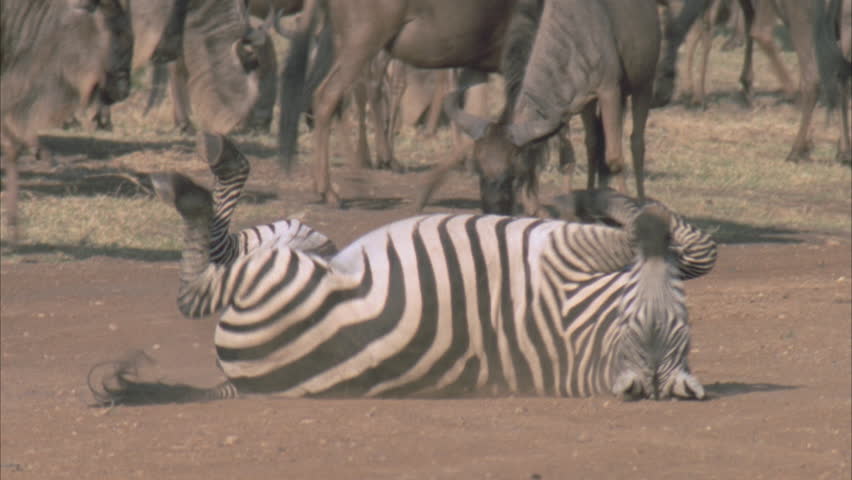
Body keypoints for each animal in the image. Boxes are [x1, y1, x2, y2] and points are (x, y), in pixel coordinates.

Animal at [90, 133, 717, 405]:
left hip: (269, 277)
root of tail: (238, 386)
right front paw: (603, 199)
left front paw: (599, 204)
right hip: (291, 253)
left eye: (651, 326)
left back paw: (199, 178)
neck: (587, 327)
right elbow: (692, 246)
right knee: (263, 243)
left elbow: (684, 240)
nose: (651, 246)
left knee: (200, 284)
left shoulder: (564, 254)